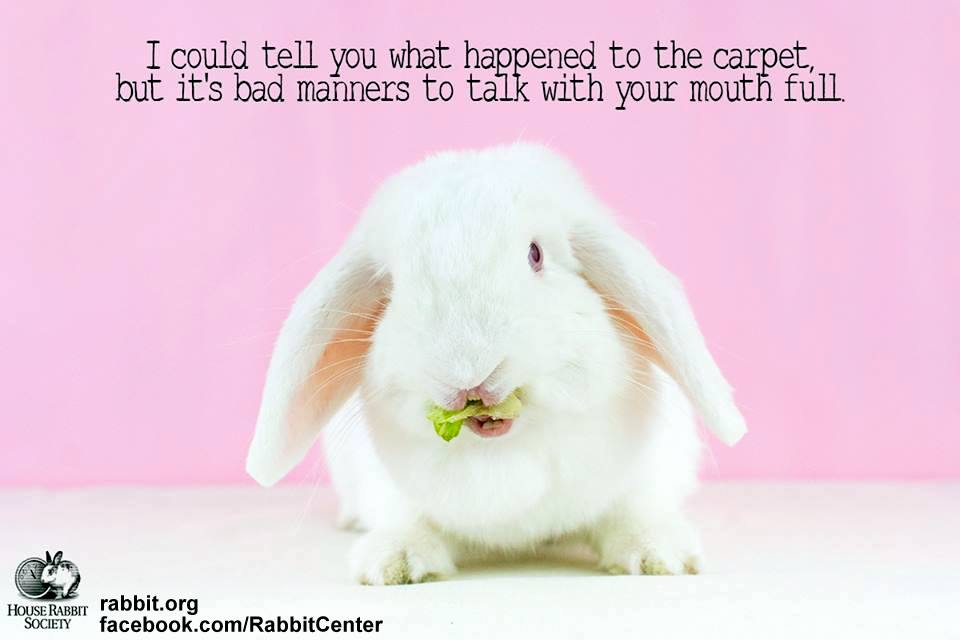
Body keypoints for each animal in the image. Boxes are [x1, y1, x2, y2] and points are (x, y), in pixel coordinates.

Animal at [246, 143, 746, 584]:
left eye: (535, 255)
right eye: (394, 287)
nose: (468, 373)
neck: (506, 453)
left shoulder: (645, 472)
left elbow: (633, 510)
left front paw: (660, 555)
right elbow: (406, 518)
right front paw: (393, 562)